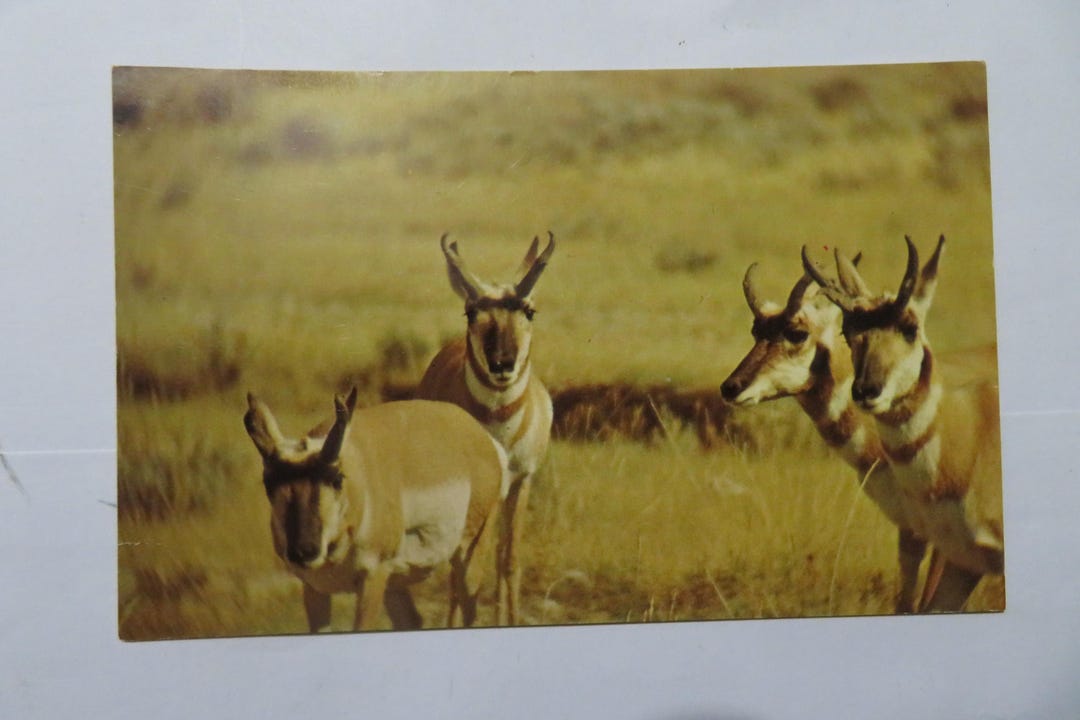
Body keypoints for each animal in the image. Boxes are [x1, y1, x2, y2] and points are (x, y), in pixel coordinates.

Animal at [244, 388, 508, 632]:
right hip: (396, 583)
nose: (304, 551)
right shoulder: (314, 588)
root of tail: (479, 433)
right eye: (269, 482)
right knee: (412, 620)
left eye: (337, 478)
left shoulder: (373, 577)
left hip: (469, 554)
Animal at [418, 232, 556, 625]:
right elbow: (468, 572)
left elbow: (508, 562)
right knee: (458, 566)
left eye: (528, 310)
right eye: (471, 312)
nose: (502, 364)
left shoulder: (521, 481)